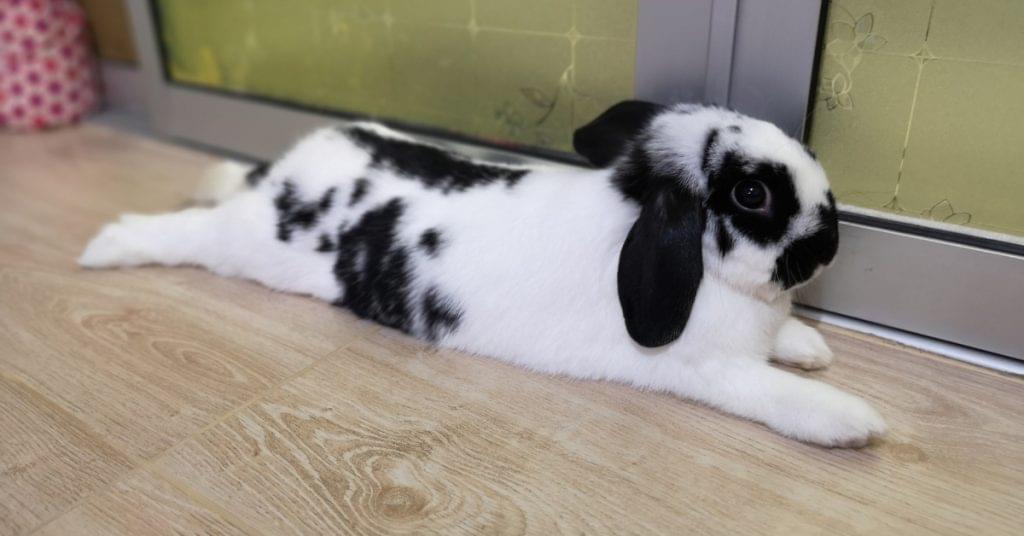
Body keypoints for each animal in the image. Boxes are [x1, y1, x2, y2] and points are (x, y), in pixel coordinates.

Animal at [80, 101, 886, 447]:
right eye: (752, 194)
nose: (831, 242)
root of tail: (286, 174)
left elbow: (787, 346)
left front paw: (811, 346)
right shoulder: (711, 369)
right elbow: (775, 392)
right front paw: (856, 421)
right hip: (245, 244)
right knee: (185, 232)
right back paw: (105, 246)